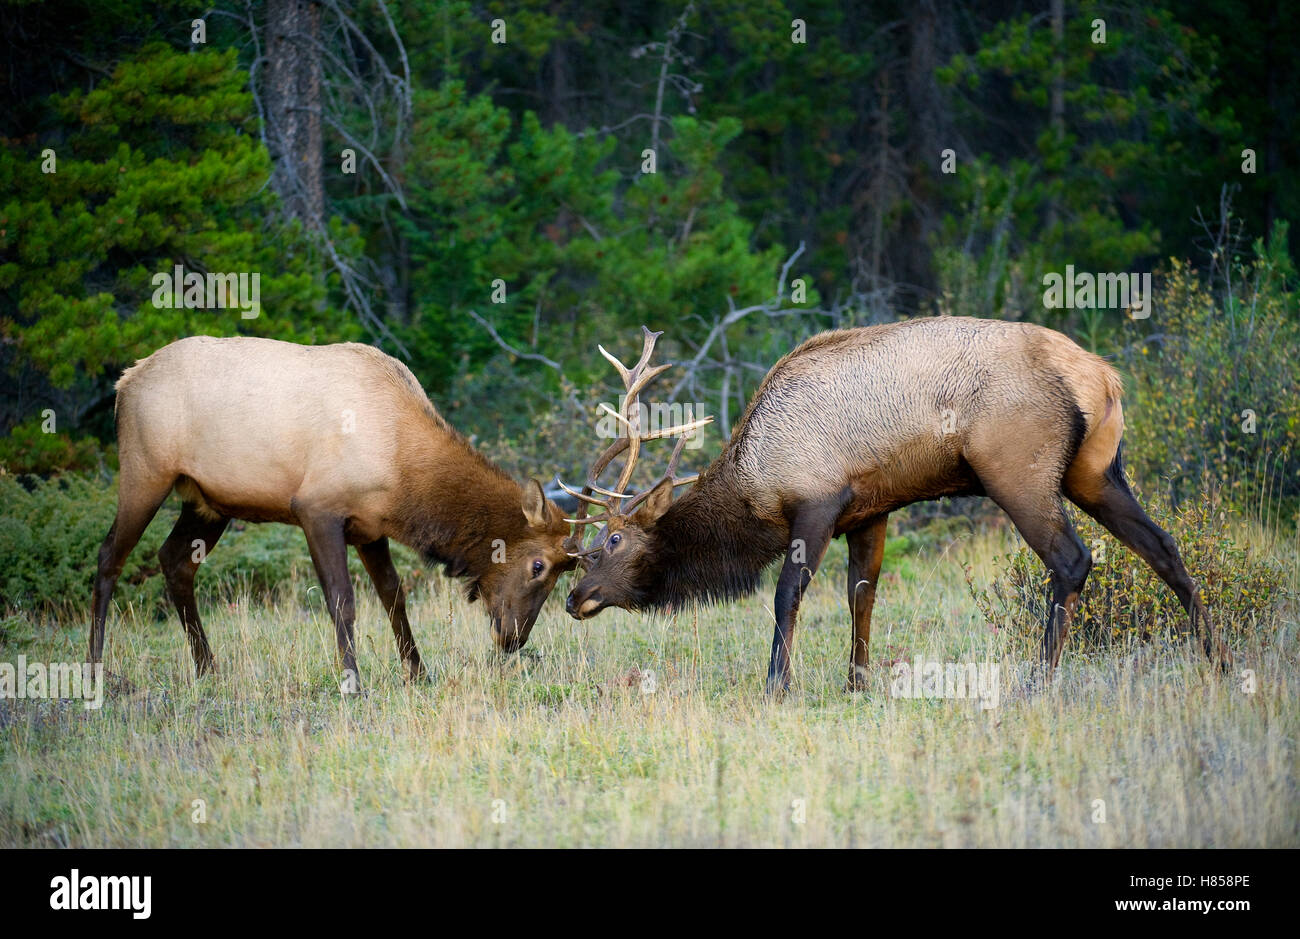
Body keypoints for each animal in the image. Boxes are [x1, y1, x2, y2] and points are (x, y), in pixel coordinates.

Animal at [91, 335, 577, 690]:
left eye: (562, 572)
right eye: (538, 565)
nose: (513, 638)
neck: (402, 469)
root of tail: (124, 383)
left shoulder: (370, 527)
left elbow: (393, 596)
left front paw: (418, 673)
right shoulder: (316, 509)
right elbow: (342, 600)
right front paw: (352, 682)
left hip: (207, 502)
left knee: (175, 561)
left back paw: (207, 668)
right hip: (145, 472)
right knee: (109, 555)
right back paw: (96, 669)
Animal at [563, 319, 1233, 695]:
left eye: (610, 542)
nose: (573, 598)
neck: (754, 491)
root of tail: (1102, 377)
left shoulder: (817, 501)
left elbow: (788, 595)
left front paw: (777, 684)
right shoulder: (869, 511)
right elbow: (862, 595)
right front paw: (856, 683)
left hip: (1019, 470)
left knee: (1072, 560)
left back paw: (1036, 683)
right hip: (1095, 472)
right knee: (1163, 546)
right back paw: (1221, 661)